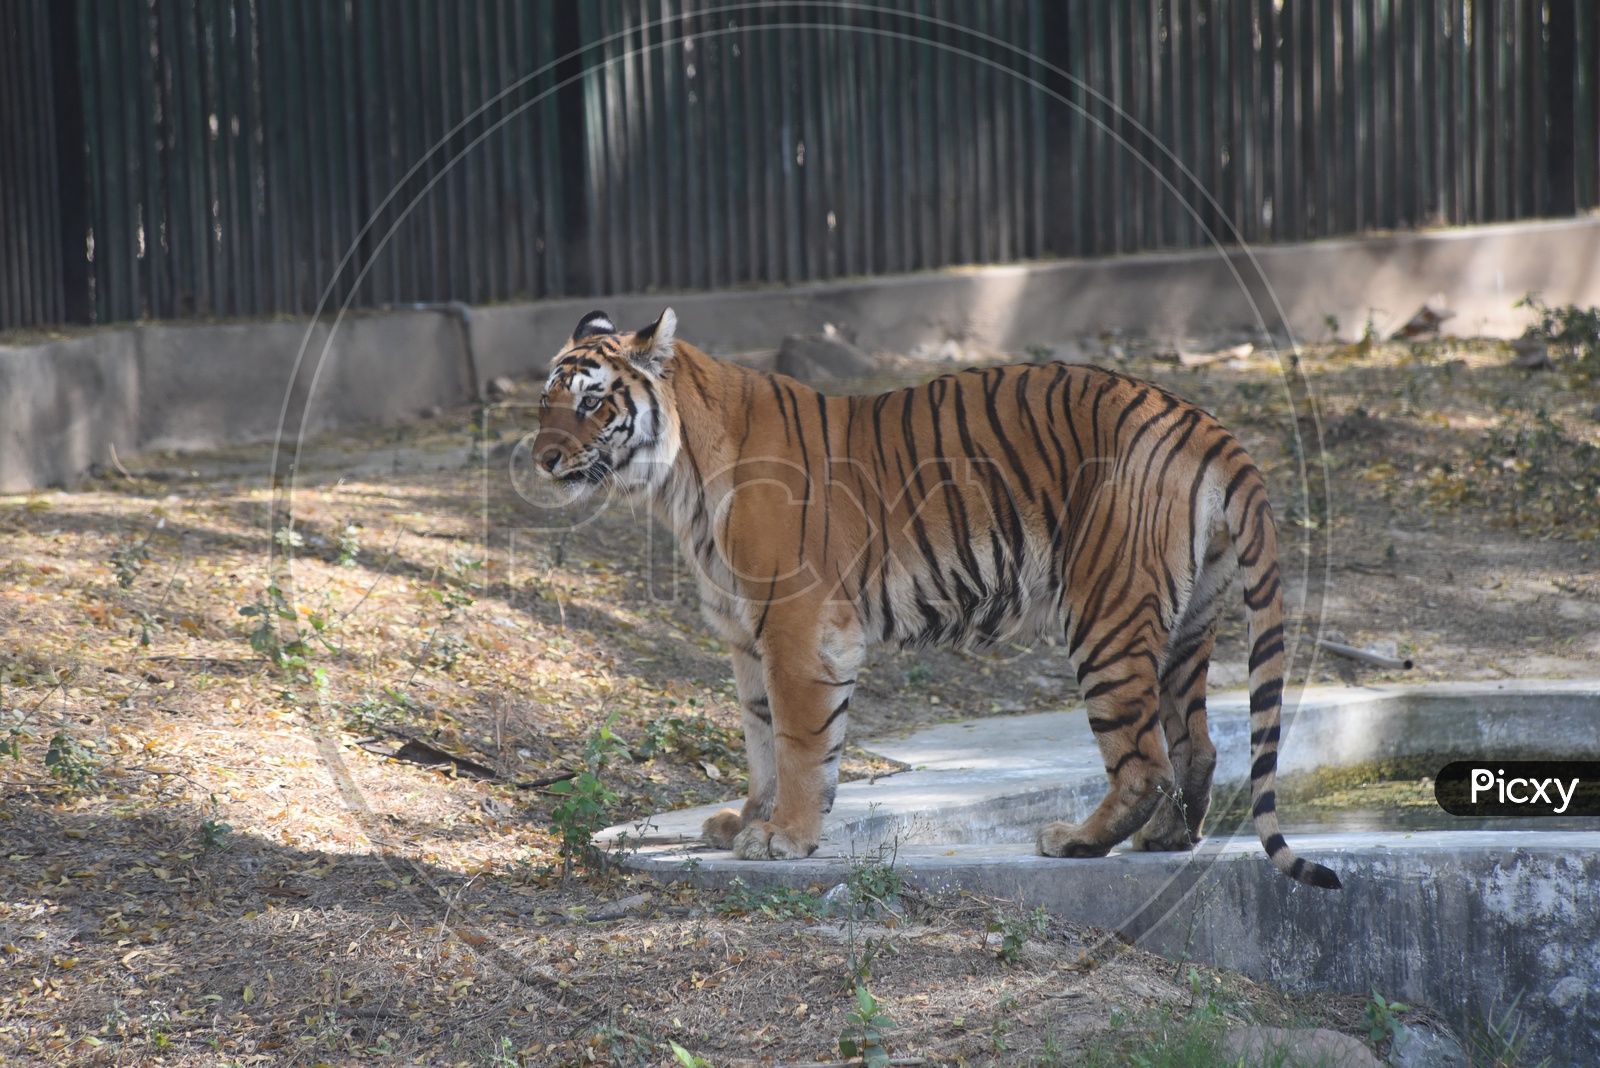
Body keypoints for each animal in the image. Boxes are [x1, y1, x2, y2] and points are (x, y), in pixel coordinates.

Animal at [531, 308, 1340, 889]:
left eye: (593, 402)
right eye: (545, 404)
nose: (541, 457)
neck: (678, 480)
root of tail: (1199, 418)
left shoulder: (797, 625)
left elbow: (798, 740)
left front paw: (786, 837)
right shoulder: (743, 633)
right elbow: (760, 738)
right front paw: (748, 823)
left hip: (1104, 611)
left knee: (1145, 762)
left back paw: (1075, 841)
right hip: (1188, 619)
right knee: (1197, 744)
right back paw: (1165, 838)